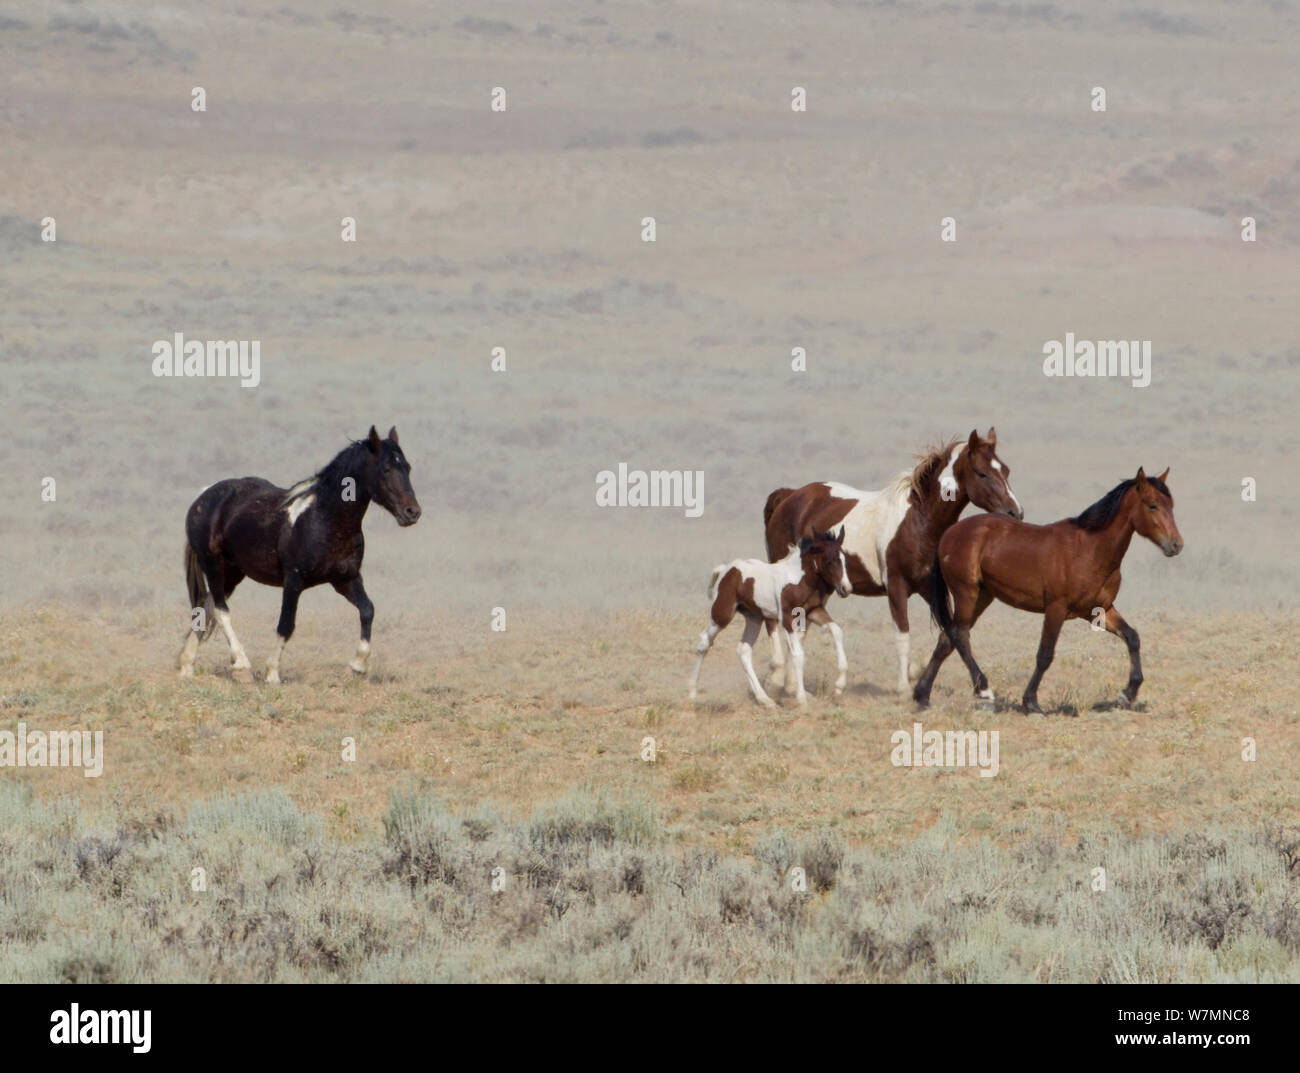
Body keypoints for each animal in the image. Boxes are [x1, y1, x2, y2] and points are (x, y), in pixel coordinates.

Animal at [177, 426, 422, 684]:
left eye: (407, 467)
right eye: (386, 469)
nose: (412, 512)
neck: (324, 519)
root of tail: (202, 497)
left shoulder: (346, 579)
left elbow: (368, 610)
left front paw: (357, 667)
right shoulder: (294, 579)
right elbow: (286, 624)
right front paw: (272, 673)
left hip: (232, 572)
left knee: (207, 606)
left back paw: (187, 666)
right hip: (212, 563)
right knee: (221, 610)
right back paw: (241, 666)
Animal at [689, 528, 849, 708]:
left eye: (845, 560)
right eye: (829, 561)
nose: (845, 588)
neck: (797, 579)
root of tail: (726, 569)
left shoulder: (813, 611)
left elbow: (837, 631)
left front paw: (839, 688)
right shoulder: (787, 617)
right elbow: (798, 655)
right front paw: (801, 699)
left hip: (754, 618)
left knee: (744, 651)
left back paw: (765, 700)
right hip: (722, 614)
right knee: (704, 641)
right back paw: (692, 692)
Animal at [763, 429, 1022, 697]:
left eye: (1005, 470)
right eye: (981, 473)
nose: (1015, 512)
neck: (919, 521)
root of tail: (789, 497)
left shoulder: (932, 591)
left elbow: (951, 634)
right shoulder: (897, 587)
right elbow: (903, 635)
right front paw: (904, 688)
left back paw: (791, 685)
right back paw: (777, 679)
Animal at [913, 467, 1182, 714]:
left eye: (1171, 505)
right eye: (1152, 505)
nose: (1176, 545)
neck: (1091, 549)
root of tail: (949, 534)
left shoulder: (1099, 610)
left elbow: (1132, 637)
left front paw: (1128, 693)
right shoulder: (1056, 608)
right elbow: (1045, 654)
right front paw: (1031, 703)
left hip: (982, 596)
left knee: (947, 638)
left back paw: (922, 696)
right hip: (966, 593)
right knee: (959, 635)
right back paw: (984, 691)